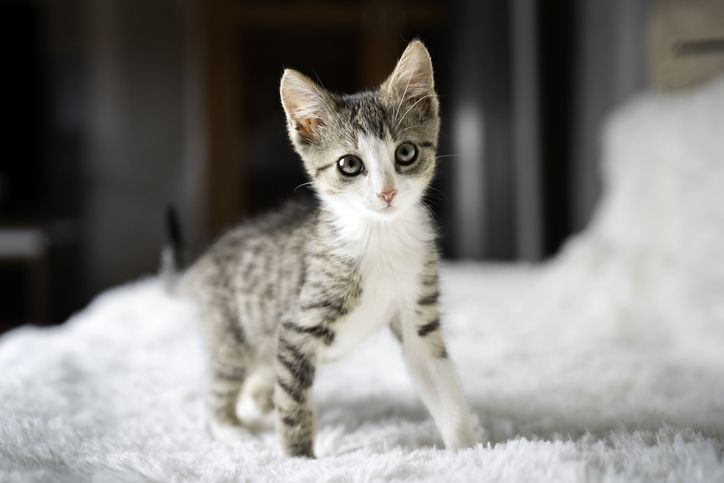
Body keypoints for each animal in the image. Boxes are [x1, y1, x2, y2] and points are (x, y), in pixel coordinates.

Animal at [174, 40, 476, 458]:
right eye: (349, 164)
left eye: (405, 153)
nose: (387, 192)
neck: (379, 236)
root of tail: (206, 259)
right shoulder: (295, 329)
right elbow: (293, 403)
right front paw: (300, 458)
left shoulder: (419, 313)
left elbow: (442, 385)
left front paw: (471, 451)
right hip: (231, 334)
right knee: (223, 384)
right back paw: (232, 428)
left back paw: (257, 400)